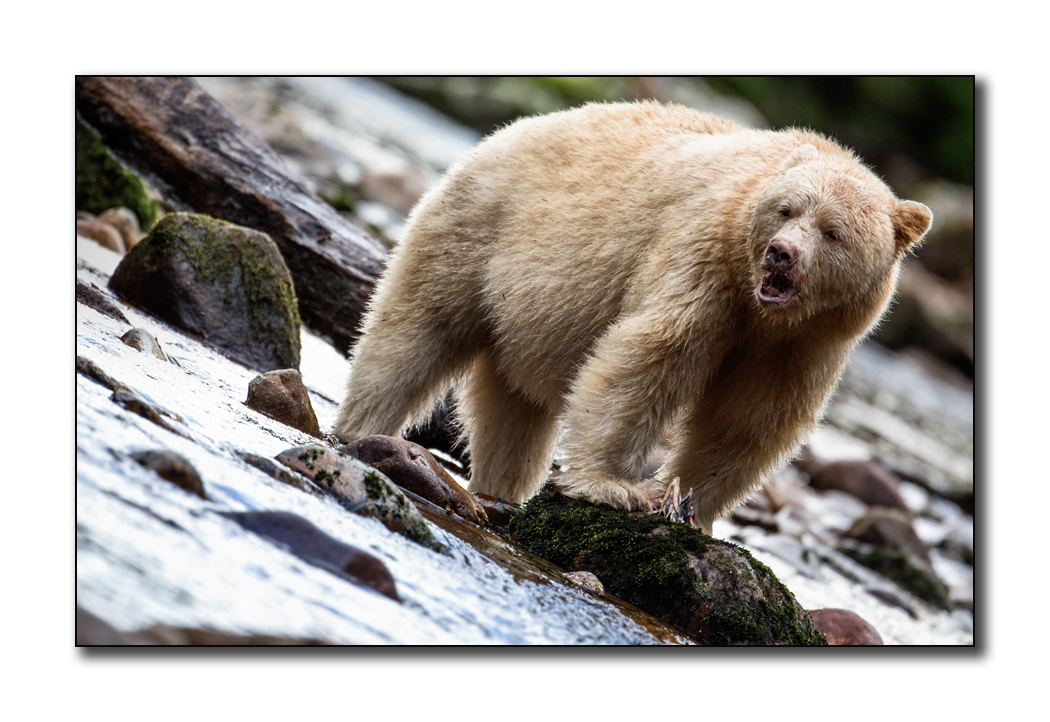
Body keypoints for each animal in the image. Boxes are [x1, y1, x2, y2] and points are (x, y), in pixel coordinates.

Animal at [333, 101, 932, 535]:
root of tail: (508, 130)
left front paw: (693, 508)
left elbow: (750, 418)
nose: (781, 254)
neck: (760, 308)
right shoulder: (702, 256)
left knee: (516, 404)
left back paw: (500, 486)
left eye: (833, 231)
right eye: (787, 209)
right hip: (480, 231)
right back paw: (366, 431)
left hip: (529, 318)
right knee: (418, 329)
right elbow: (652, 354)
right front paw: (618, 488)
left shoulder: (807, 341)